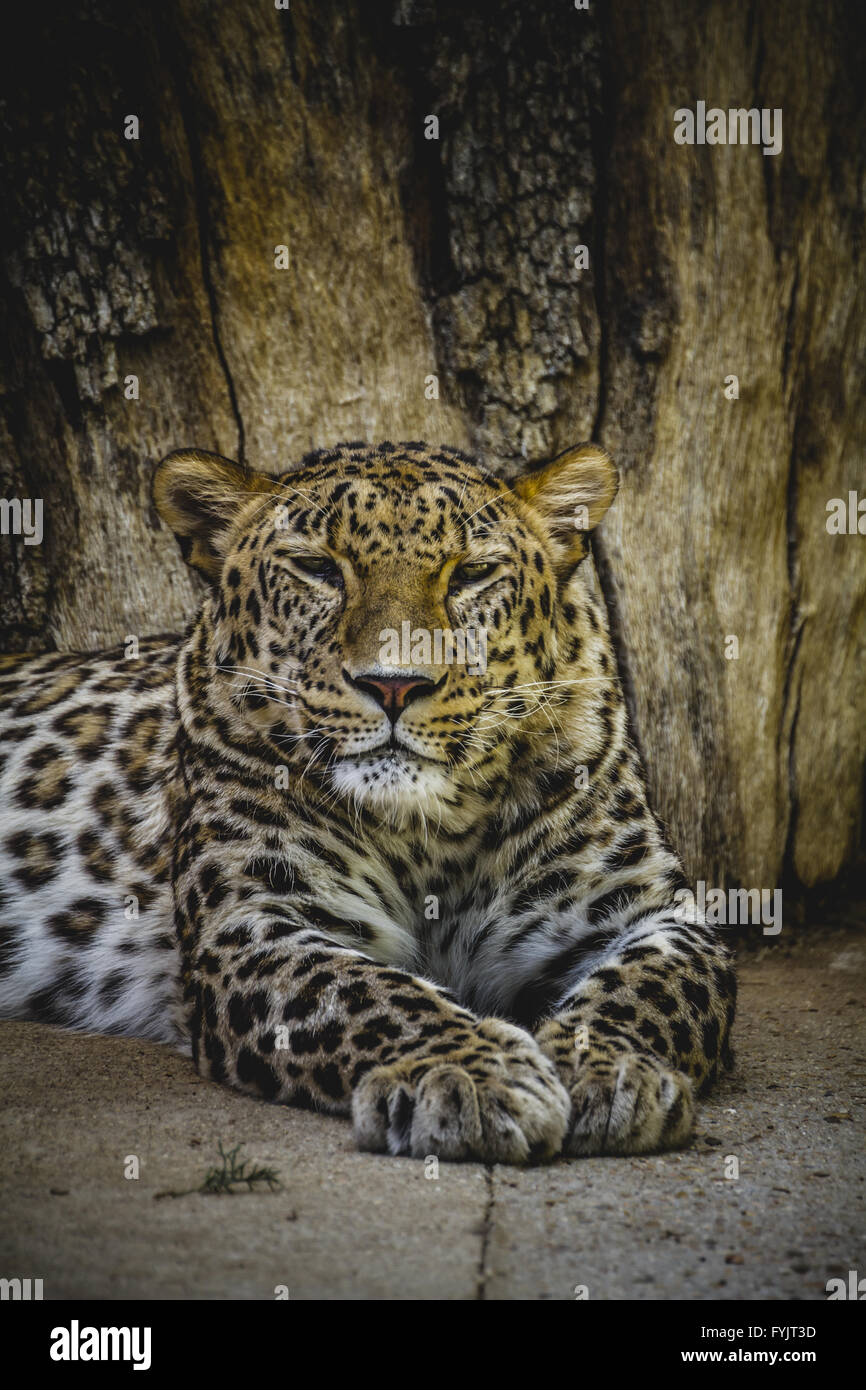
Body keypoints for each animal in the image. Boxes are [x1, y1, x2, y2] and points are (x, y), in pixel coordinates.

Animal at [0, 439, 736, 1162]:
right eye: (317, 568)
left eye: (471, 574)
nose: (394, 685)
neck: (435, 830)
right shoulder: (254, 922)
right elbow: (369, 993)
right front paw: (470, 1074)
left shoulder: (645, 909)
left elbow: (653, 987)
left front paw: (607, 1068)